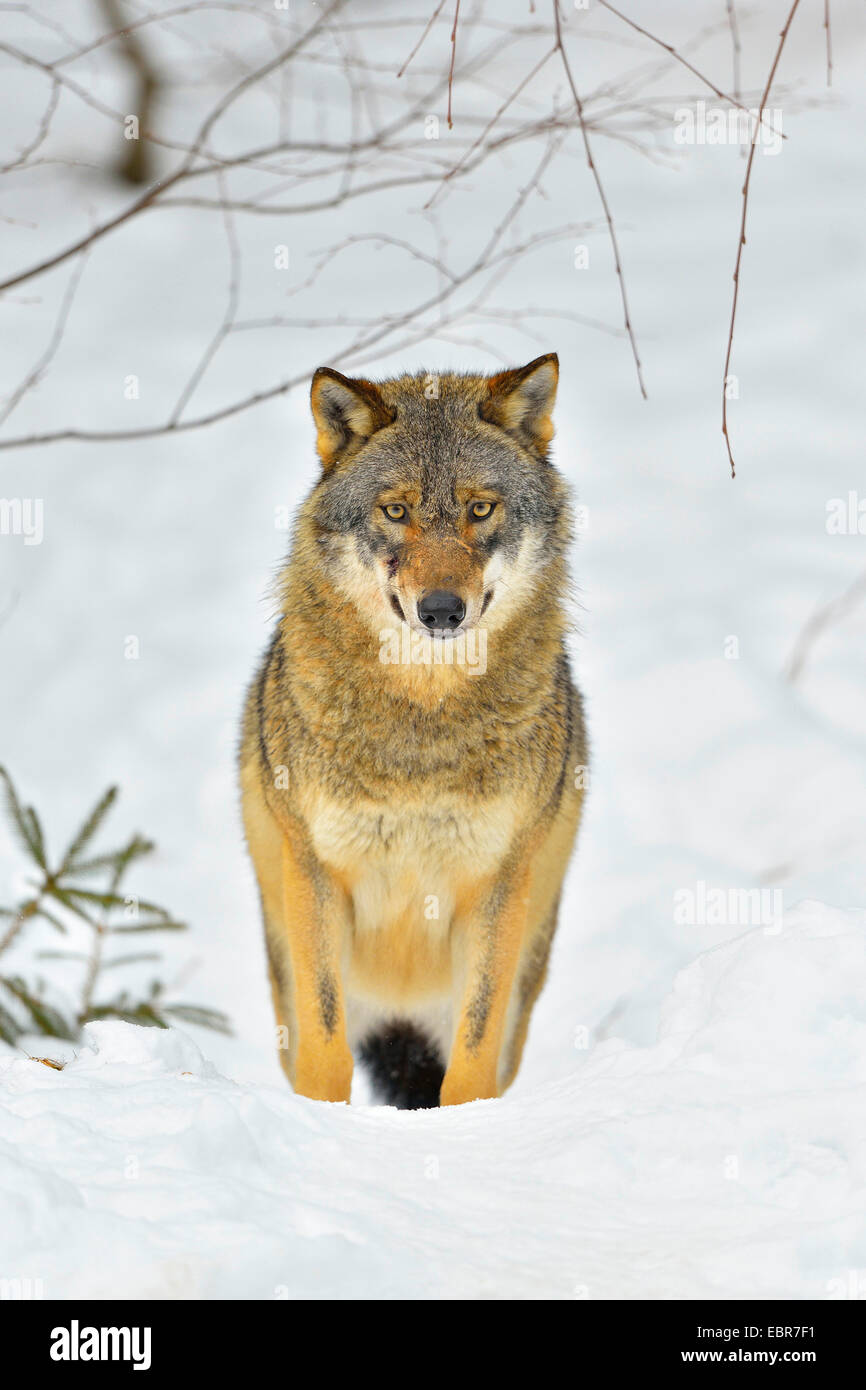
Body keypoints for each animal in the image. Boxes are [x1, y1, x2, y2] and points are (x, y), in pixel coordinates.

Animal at [239, 353, 587, 1107]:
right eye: (396, 510)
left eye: (479, 508)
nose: (441, 610)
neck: (421, 734)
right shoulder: (315, 870)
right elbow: (326, 1043)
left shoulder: (499, 883)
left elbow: (474, 1051)